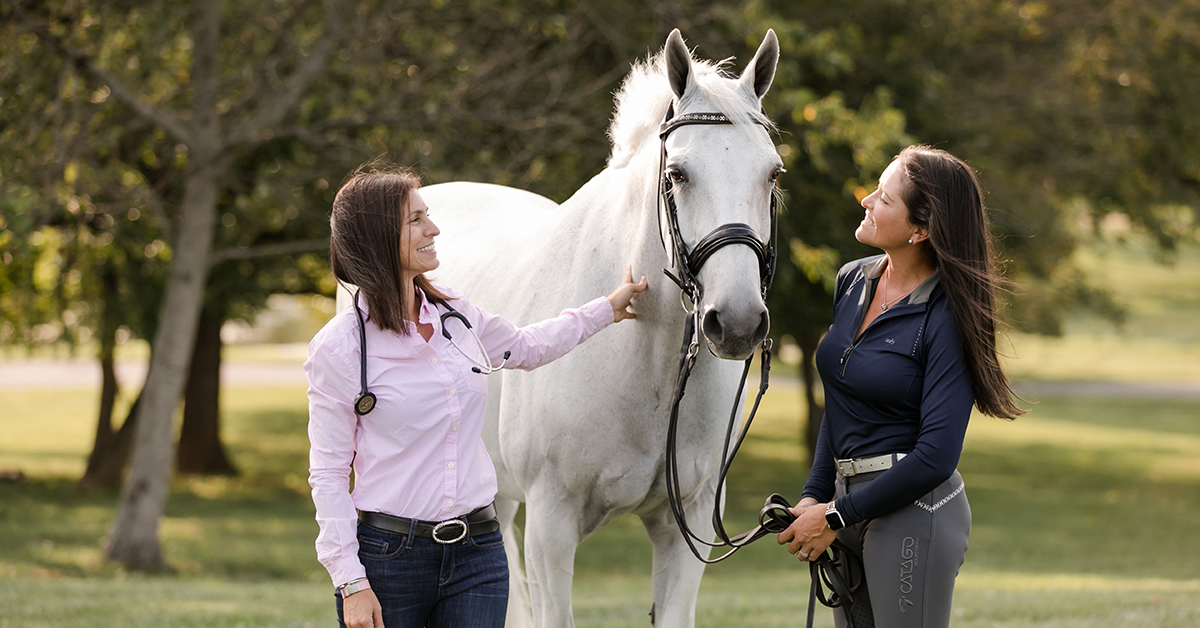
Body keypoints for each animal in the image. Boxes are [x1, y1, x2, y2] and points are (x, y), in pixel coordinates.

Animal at [348, 29, 781, 627]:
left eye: (773, 173)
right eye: (678, 174)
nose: (737, 322)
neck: (644, 361)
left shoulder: (685, 526)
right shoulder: (552, 526)